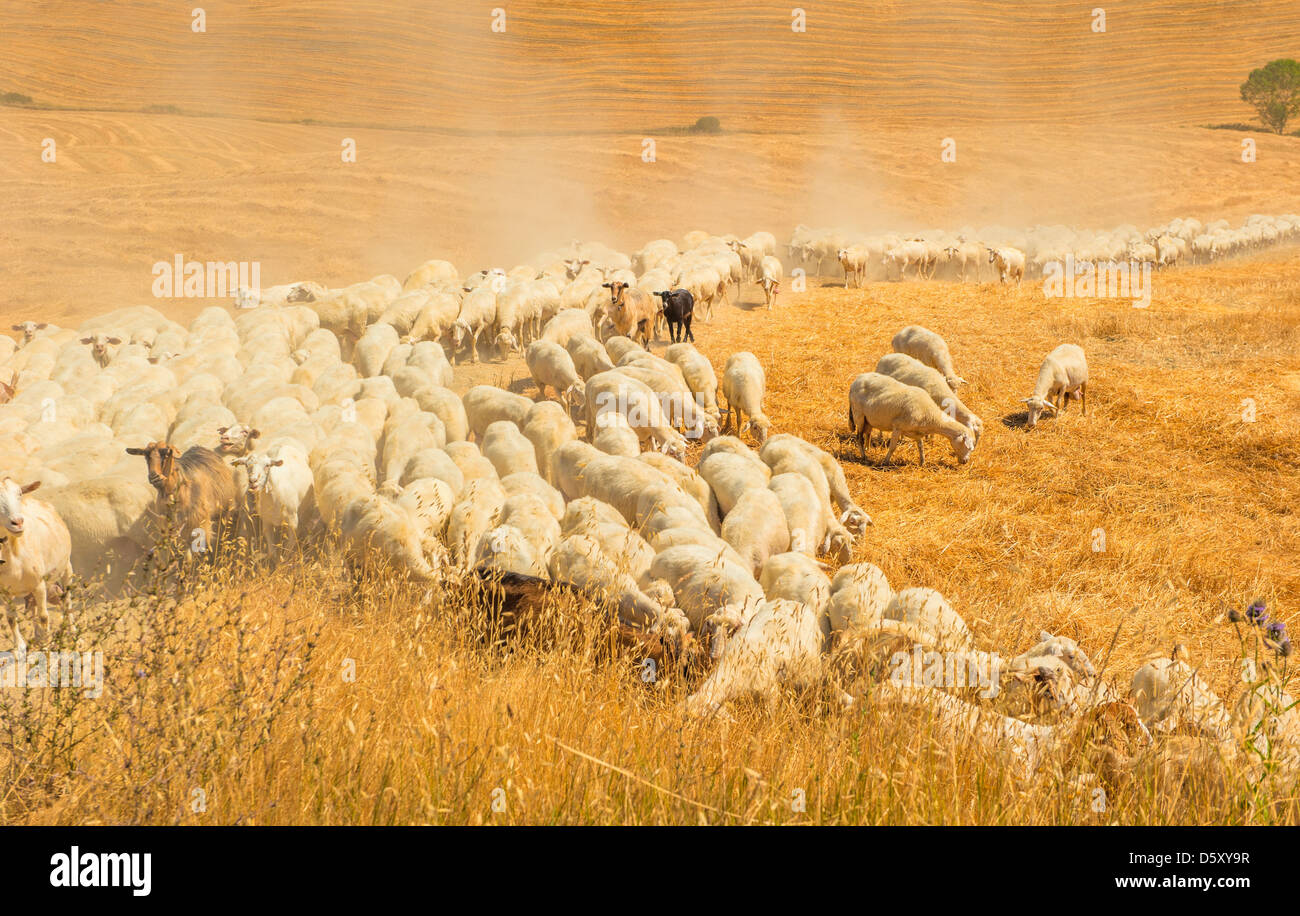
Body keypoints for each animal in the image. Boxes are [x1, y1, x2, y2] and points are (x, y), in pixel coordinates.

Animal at [0, 479, 73, 646]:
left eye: (19, 493)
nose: (18, 522)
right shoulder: (4, 591)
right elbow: (11, 619)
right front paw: (20, 647)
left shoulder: (38, 584)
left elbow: (44, 617)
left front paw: (46, 645)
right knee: (32, 607)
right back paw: (38, 637)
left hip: (66, 566)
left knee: (67, 602)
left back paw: (74, 636)